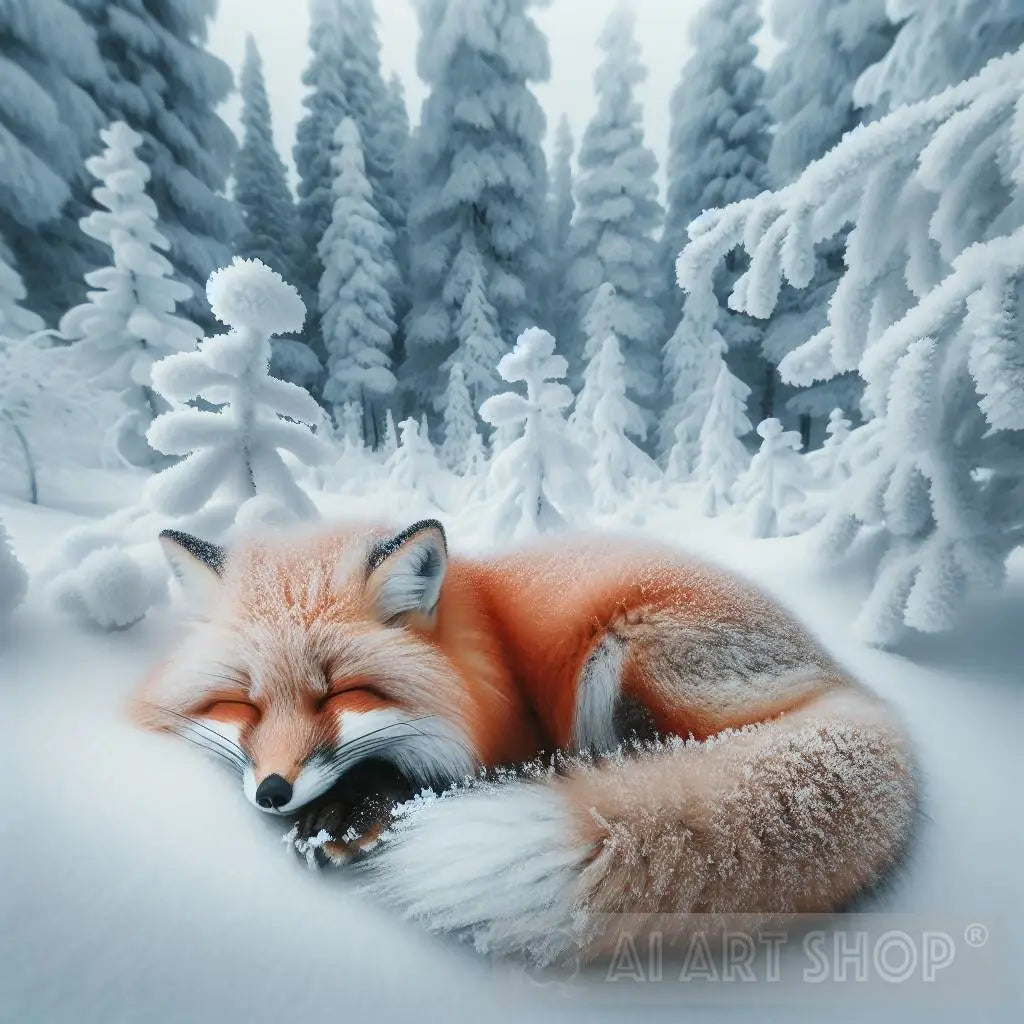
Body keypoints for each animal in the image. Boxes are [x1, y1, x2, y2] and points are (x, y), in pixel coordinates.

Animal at [134, 518, 917, 964]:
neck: (483, 646)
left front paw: (351, 810)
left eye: (341, 695)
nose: (273, 792)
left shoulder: (507, 735)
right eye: (241, 704)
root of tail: (849, 684)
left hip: (622, 654)